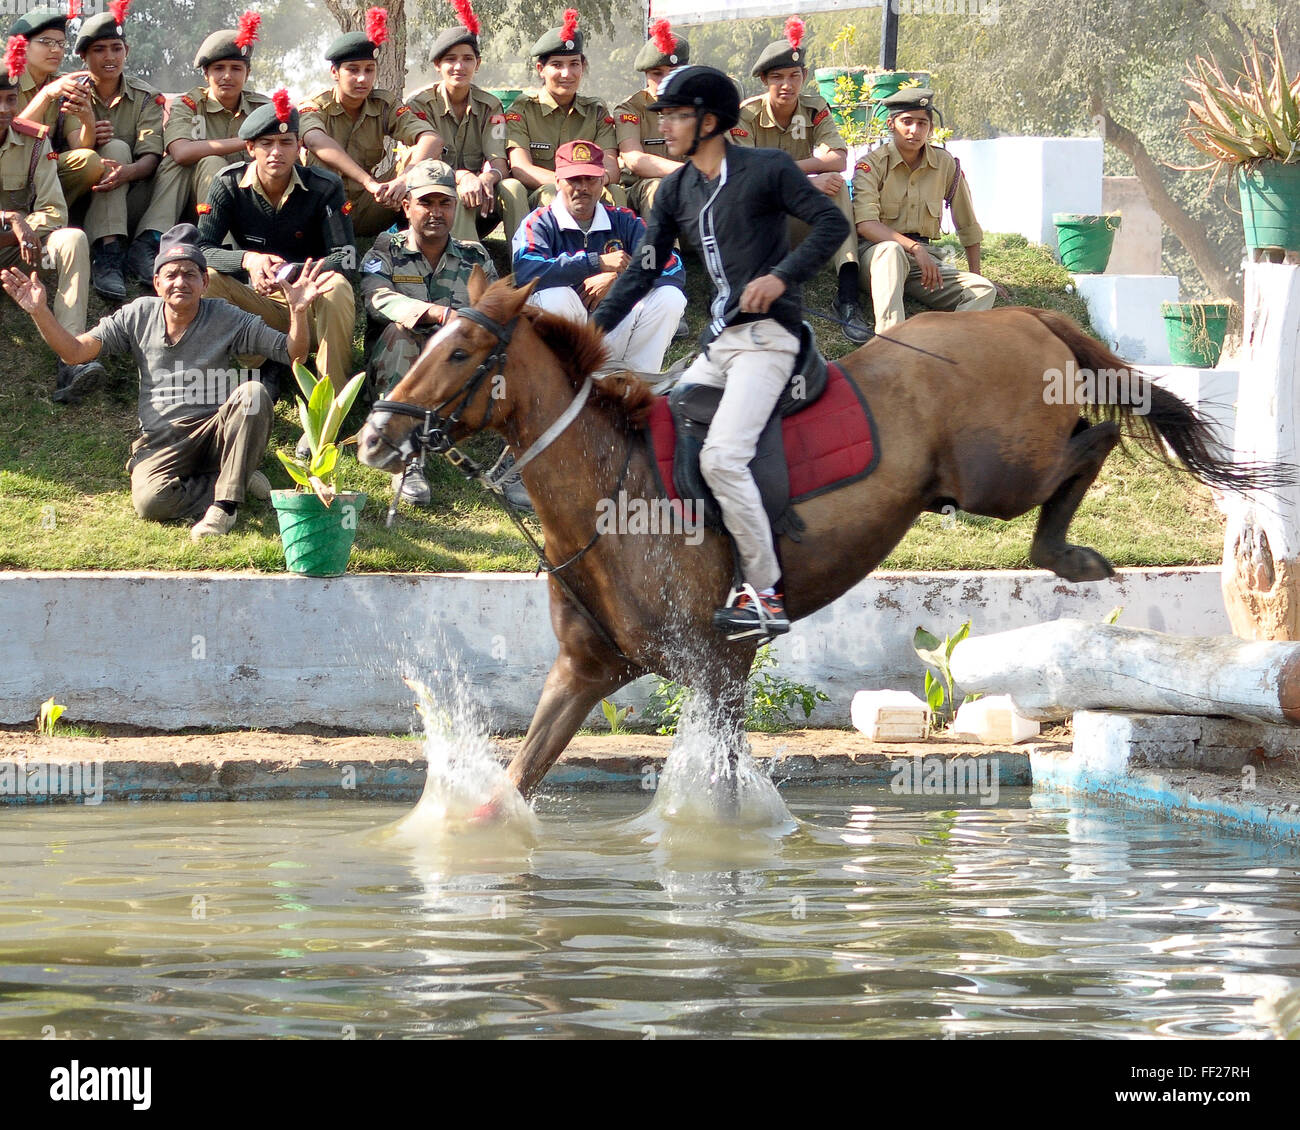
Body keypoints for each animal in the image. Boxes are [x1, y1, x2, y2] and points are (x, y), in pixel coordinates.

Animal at [358, 272, 1280, 800]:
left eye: (462, 351)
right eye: (426, 339)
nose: (371, 437)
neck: (606, 500)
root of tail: (1023, 317)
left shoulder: (718, 669)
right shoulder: (585, 671)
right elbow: (516, 780)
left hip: (997, 476)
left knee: (1101, 436)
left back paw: (1067, 553)